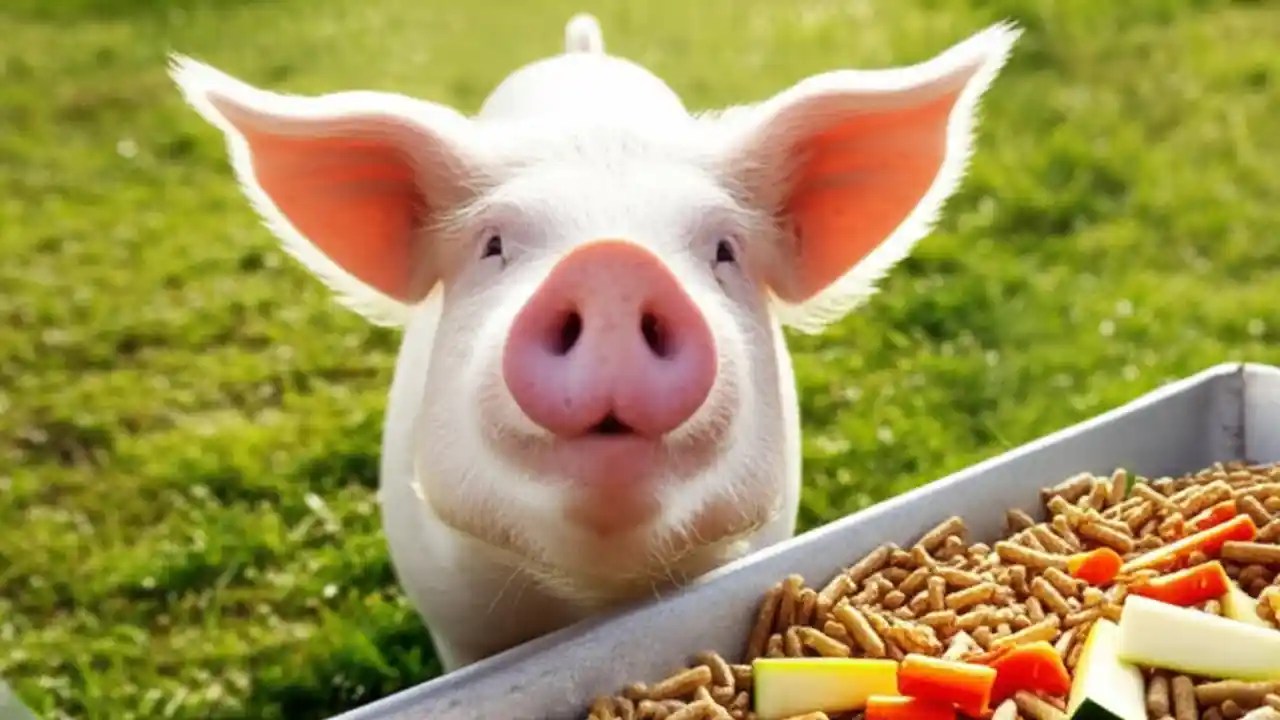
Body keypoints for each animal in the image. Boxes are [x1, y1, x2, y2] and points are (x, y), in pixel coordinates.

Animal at [170, 12, 1019, 672]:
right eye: (493, 245)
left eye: (724, 251)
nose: (612, 262)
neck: (585, 601)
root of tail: (581, 51)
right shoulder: (448, 617)